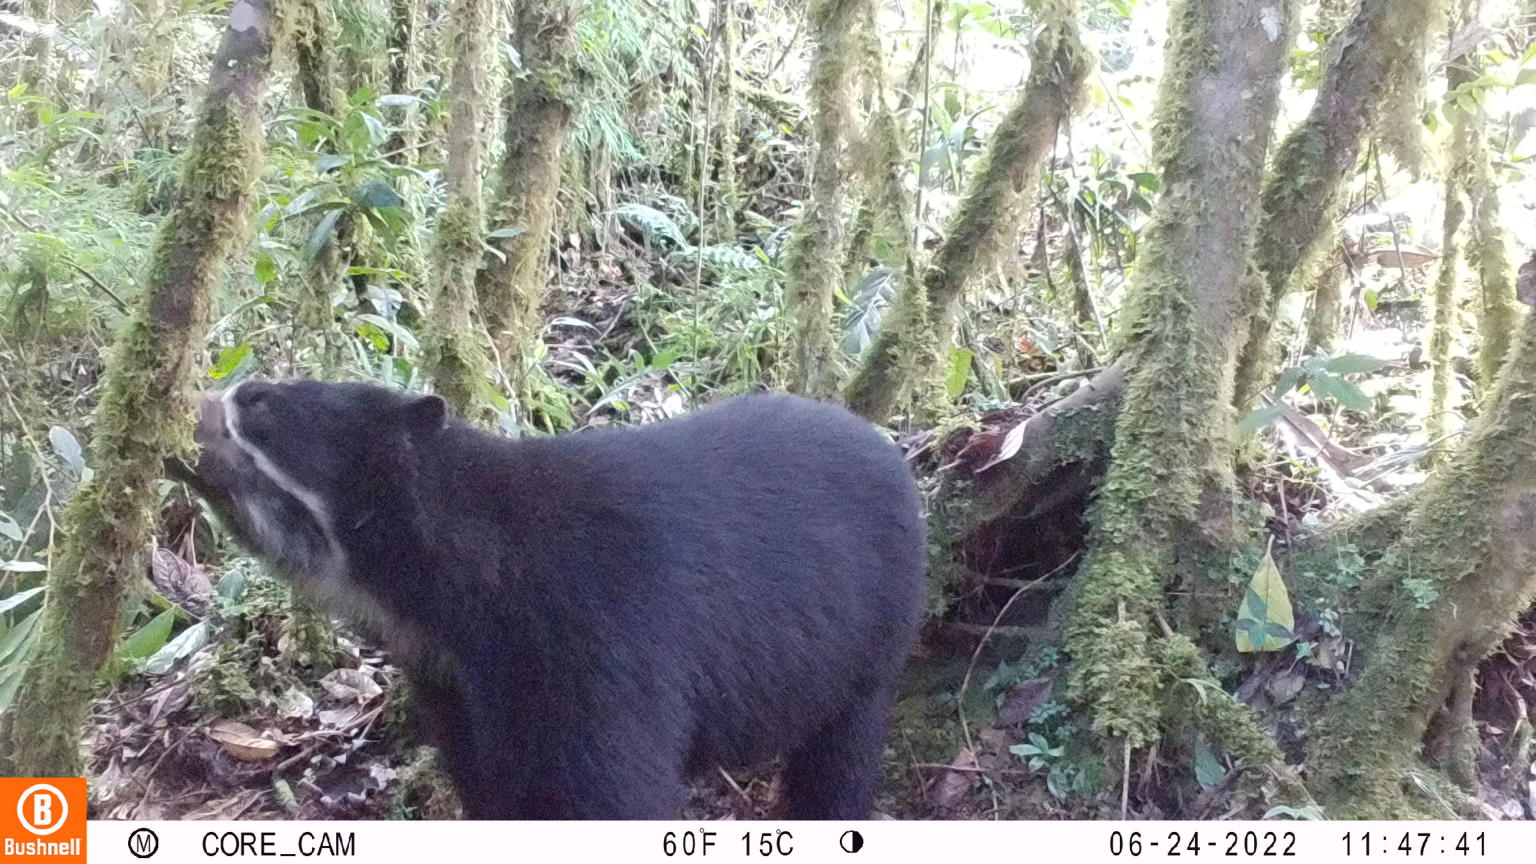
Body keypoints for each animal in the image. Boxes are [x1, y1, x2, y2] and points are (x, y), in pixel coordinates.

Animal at [175, 379, 927, 819]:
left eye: (264, 401)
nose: (205, 399)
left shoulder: (599, 645)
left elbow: (613, 792)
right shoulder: (458, 686)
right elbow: (494, 789)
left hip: (872, 642)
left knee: (840, 759)